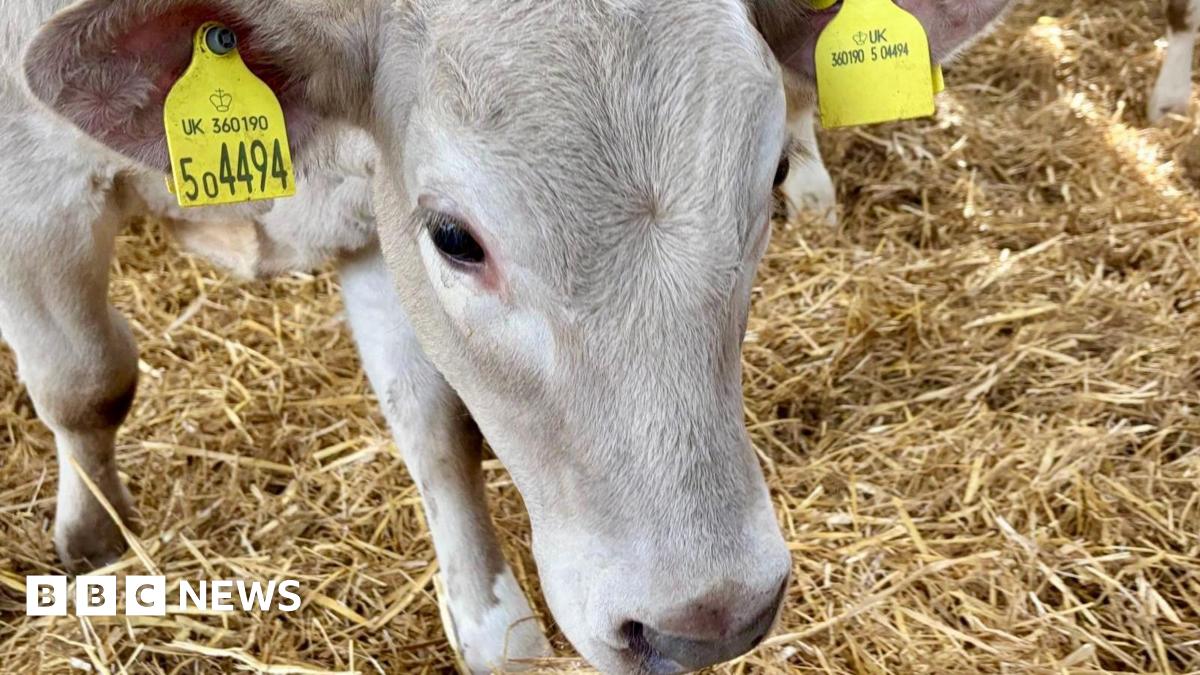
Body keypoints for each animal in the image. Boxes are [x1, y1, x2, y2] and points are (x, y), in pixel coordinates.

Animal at [3, 1, 1011, 672]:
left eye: (761, 178)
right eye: (455, 236)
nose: (709, 619)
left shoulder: (370, 218)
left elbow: (434, 421)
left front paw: (492, 624)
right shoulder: (31, 198)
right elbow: (86, 380)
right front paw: (94, 538)